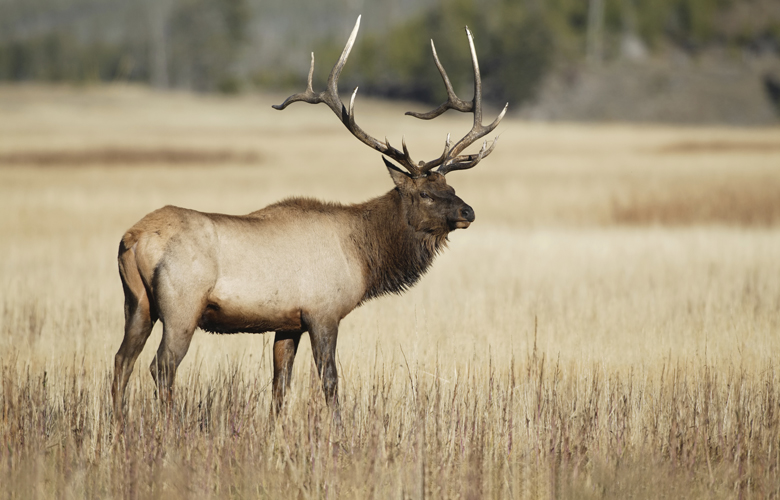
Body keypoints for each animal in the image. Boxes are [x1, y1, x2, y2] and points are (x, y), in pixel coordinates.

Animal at [111, 16, 507, 425]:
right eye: (426, 192)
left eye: (451, 185)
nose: (468, 211)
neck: (365, 256)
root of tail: (133, 239)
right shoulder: (323, 312)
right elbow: (330, 380)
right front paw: (339, 429)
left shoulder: (288, 324)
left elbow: (280, 384)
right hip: (181, 306)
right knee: (162, 365)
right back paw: (168, 425)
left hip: (137, 303)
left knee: (122, 360)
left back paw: (119, 424)